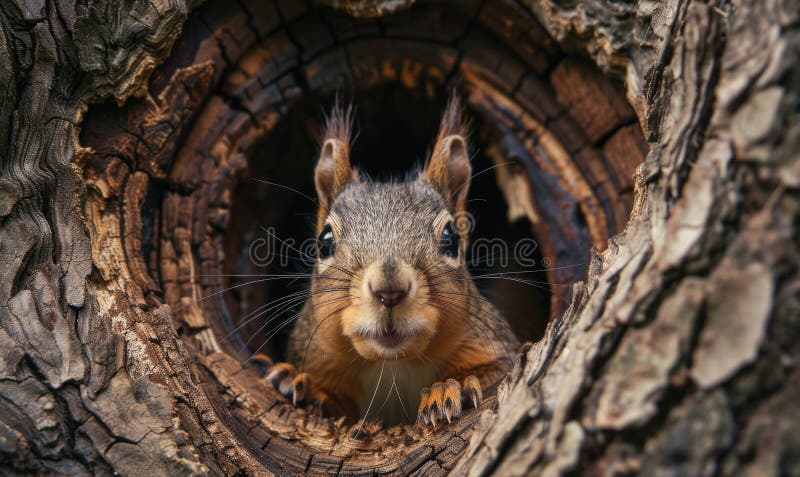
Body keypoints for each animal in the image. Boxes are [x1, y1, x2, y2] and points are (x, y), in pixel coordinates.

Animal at [254, 96, 521, 427]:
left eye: (451, 238)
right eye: (324, 241)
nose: (389, 291)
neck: (393, 366)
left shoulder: (492, 344)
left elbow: (497, 369)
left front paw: (451, 386)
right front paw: (299, 384)